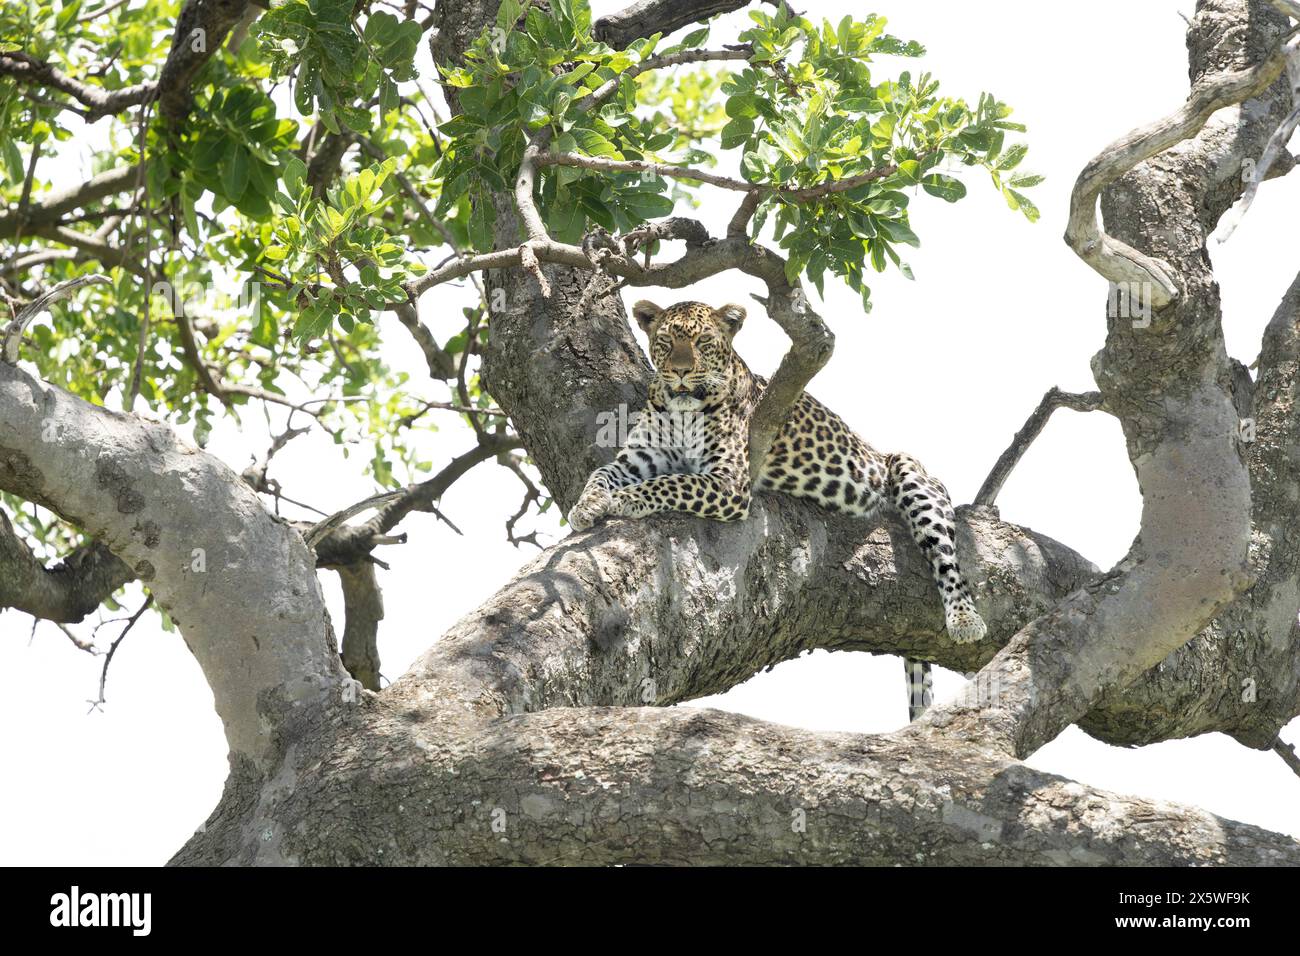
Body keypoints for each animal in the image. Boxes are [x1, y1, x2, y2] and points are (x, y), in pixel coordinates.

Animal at [568, 299, 987, 716]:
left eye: (703, 342)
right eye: (667, 342)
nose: (683, 372)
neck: (682, 411)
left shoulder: (728, 483)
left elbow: (669, 483)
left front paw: (623, 500)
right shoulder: (636, 460)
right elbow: (602, 473)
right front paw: (586, 505)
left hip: (913, 478)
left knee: (945, 559)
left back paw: (965, 618)